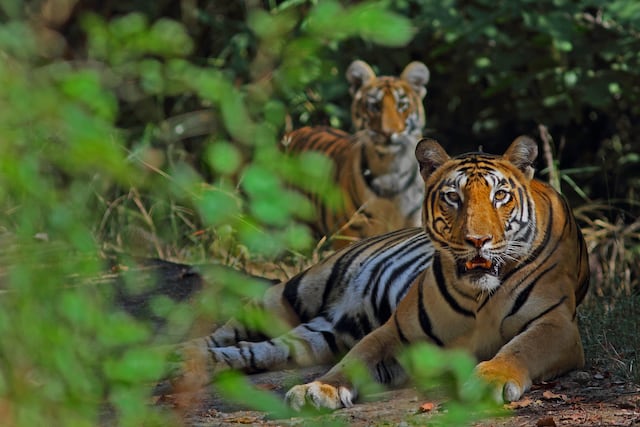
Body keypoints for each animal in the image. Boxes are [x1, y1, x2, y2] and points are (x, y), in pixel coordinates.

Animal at [172, 136, 590, 410]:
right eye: (453, 197)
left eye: (500, 196)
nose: (477, 240)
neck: (479, 297)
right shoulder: (398, 331)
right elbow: (355, 359)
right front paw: (318, 389)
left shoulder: (556, 326)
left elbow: (519, 348)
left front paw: (490, 380)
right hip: (289, 294)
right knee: (225, 331)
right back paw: (179, 353)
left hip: (315, 337)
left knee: (259, 349)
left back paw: (193, 364)